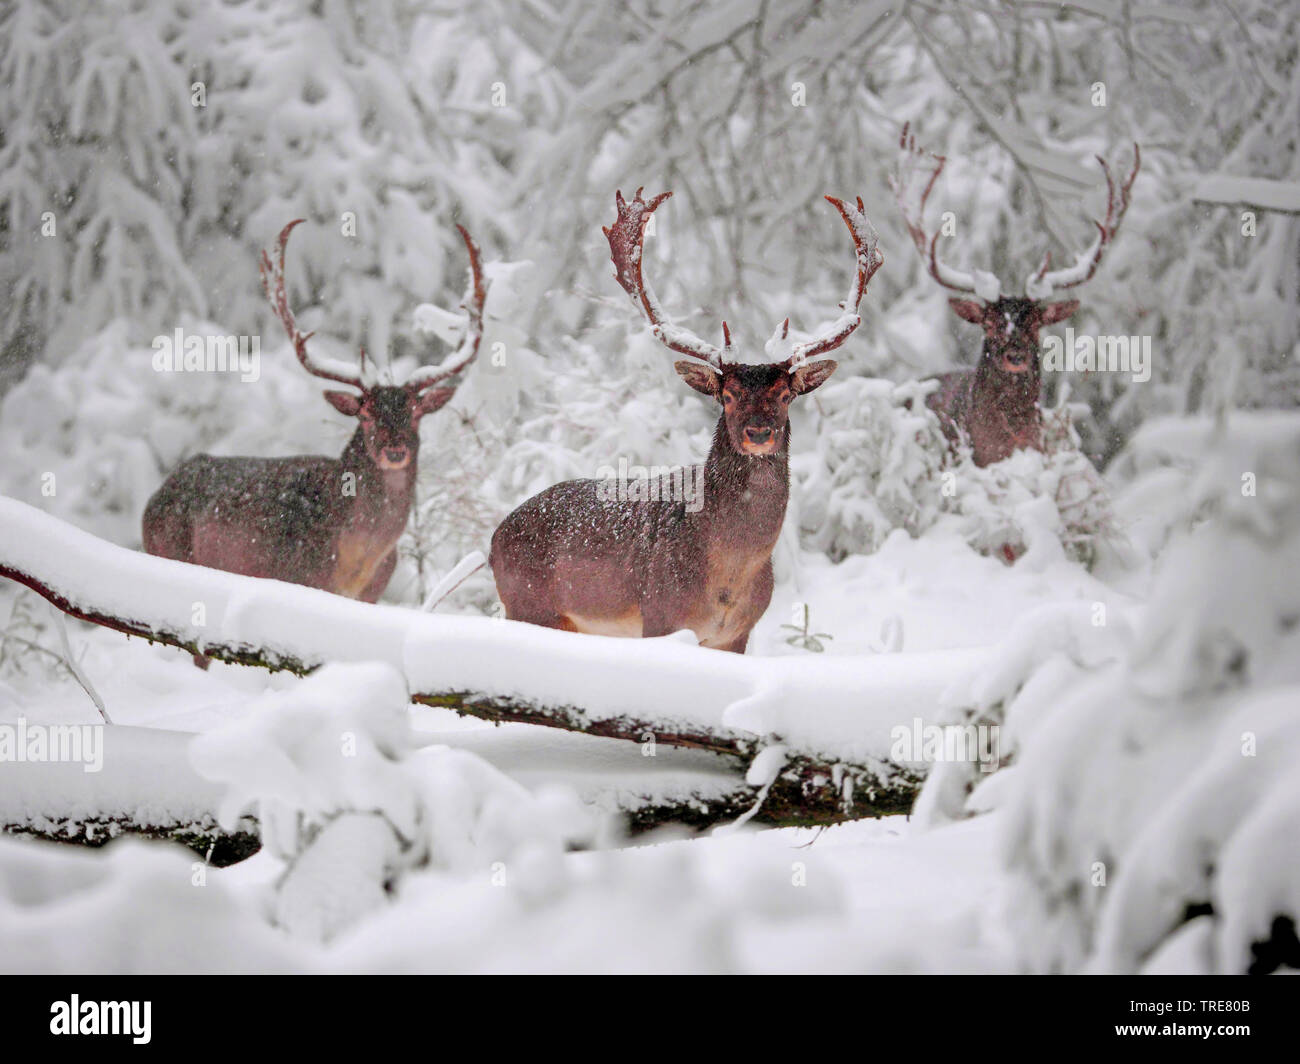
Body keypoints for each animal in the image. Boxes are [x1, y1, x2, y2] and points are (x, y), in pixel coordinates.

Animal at [143, 218, 487, 652]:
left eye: (415, 413)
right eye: (367, 415)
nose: (395, 450)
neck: (358, 557)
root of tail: (153, 500)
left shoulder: (371, 595)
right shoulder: (296, 579)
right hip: (170, 554)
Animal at [489, 188, 882, 653]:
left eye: (786, 396)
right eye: (727, 396)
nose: (759, 432)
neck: (730, 579)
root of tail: (493, 540)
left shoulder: (737, 634)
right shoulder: (661, 617)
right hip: (529, 607)